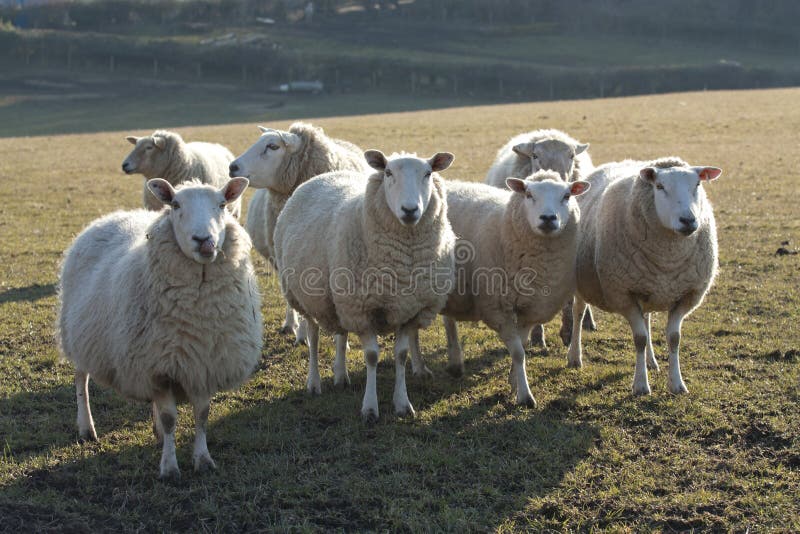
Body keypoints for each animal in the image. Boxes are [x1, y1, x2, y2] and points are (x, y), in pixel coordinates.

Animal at [56, 178, 261, 478]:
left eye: (222, 204)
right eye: (175, 205)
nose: (204, 240)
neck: (199, 311)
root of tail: (113, 215)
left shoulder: (201, 364)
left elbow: (202, 415)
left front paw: (202, 459)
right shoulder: (159, 368)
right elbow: (169, 419)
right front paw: (169, 467)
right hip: (79, 336)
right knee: (81, 380)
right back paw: (86, 428)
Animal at [274, 150, 456, 422]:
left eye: (428, 173)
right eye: (388, 173)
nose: (410, 210)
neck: (404, 267)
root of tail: (325, 175)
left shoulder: (408, 309)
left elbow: (401, 355)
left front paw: (402, 404)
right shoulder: (363, 310)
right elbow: (371, 357)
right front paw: (370, 408)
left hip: (339, 298)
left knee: (341, 334)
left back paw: (341, 375)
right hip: (306, 298)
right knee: (314, 337)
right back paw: (314, 382)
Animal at [410, 171, 590, 406]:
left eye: (567, 196)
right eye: (529, 194)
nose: (548, 218)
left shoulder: (529, 310)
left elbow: (522, 345)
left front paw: (514, 381)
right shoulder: (497, 308)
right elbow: (518, 352)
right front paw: (525, 395)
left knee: (448, 320)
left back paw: (455, 362)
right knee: (411, 328)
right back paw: (420, 368)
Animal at [565, 158, 722, 396]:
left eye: (697, 185)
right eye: (660, 186)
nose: (688, 220)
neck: (667, 261)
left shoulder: (686, 295)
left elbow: (674, 339)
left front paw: (677, 384)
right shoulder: (624, 294)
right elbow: (639, 339)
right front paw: (640, 385)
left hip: (648, 287)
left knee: (647, 320)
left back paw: (651, 361)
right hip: (583, 283)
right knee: (579, 313)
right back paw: (574, 357)